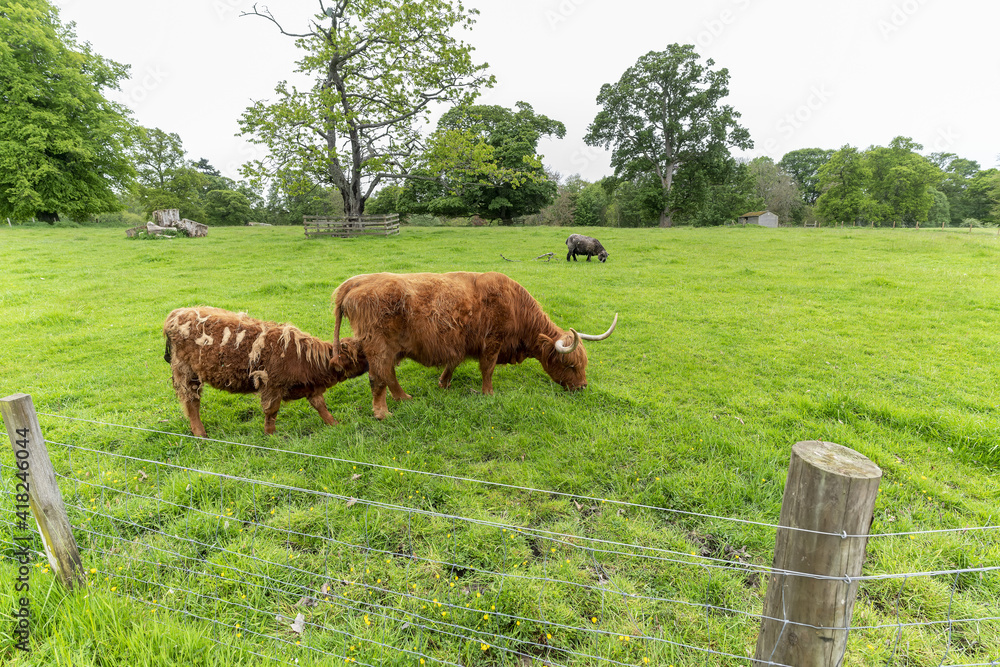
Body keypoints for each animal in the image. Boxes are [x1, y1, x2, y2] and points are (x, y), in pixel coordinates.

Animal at [163, 307, 368, 437]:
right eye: (361, 354)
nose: (371, 364)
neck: (305, 358)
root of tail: (176, 313)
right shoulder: (273, 386)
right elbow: (271, 411)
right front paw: (271, 435)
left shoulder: (311, 387)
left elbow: (320, 406)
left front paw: (334, 424)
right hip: (187, 374)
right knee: (192, 402)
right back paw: (200, 433)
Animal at [331, 272, 617, 419]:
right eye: (570, 365)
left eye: (583, 365)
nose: (582, 387)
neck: (516, 307)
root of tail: (354, 283)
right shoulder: (493, 341)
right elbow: (487, 368)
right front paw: (488, 393)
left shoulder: (461, 344)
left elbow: (453, 363)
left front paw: (444, 384)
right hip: (379, 346)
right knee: (378, 377)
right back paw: (383, 412)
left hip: (389, 349)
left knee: (389, 374)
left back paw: (404, 398)